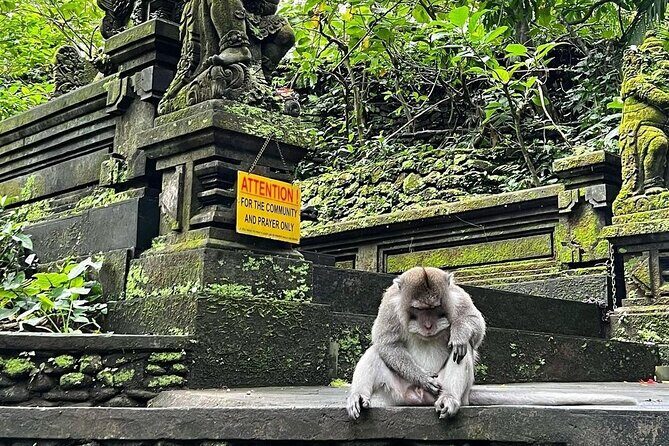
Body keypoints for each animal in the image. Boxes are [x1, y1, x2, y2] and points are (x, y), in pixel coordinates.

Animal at [346, 267, 637, 420]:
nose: (428, 326)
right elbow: (385, 342)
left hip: (453, 391)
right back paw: (359, 396)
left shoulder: (457, 296)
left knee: (461, 354)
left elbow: (474, 326)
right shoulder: (389, 304)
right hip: (398, 393)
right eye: (418, 310)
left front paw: (460, 333)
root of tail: (419, 400)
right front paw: (422, 377)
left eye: (437, 309)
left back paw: (450, 399)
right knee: (374, 353)